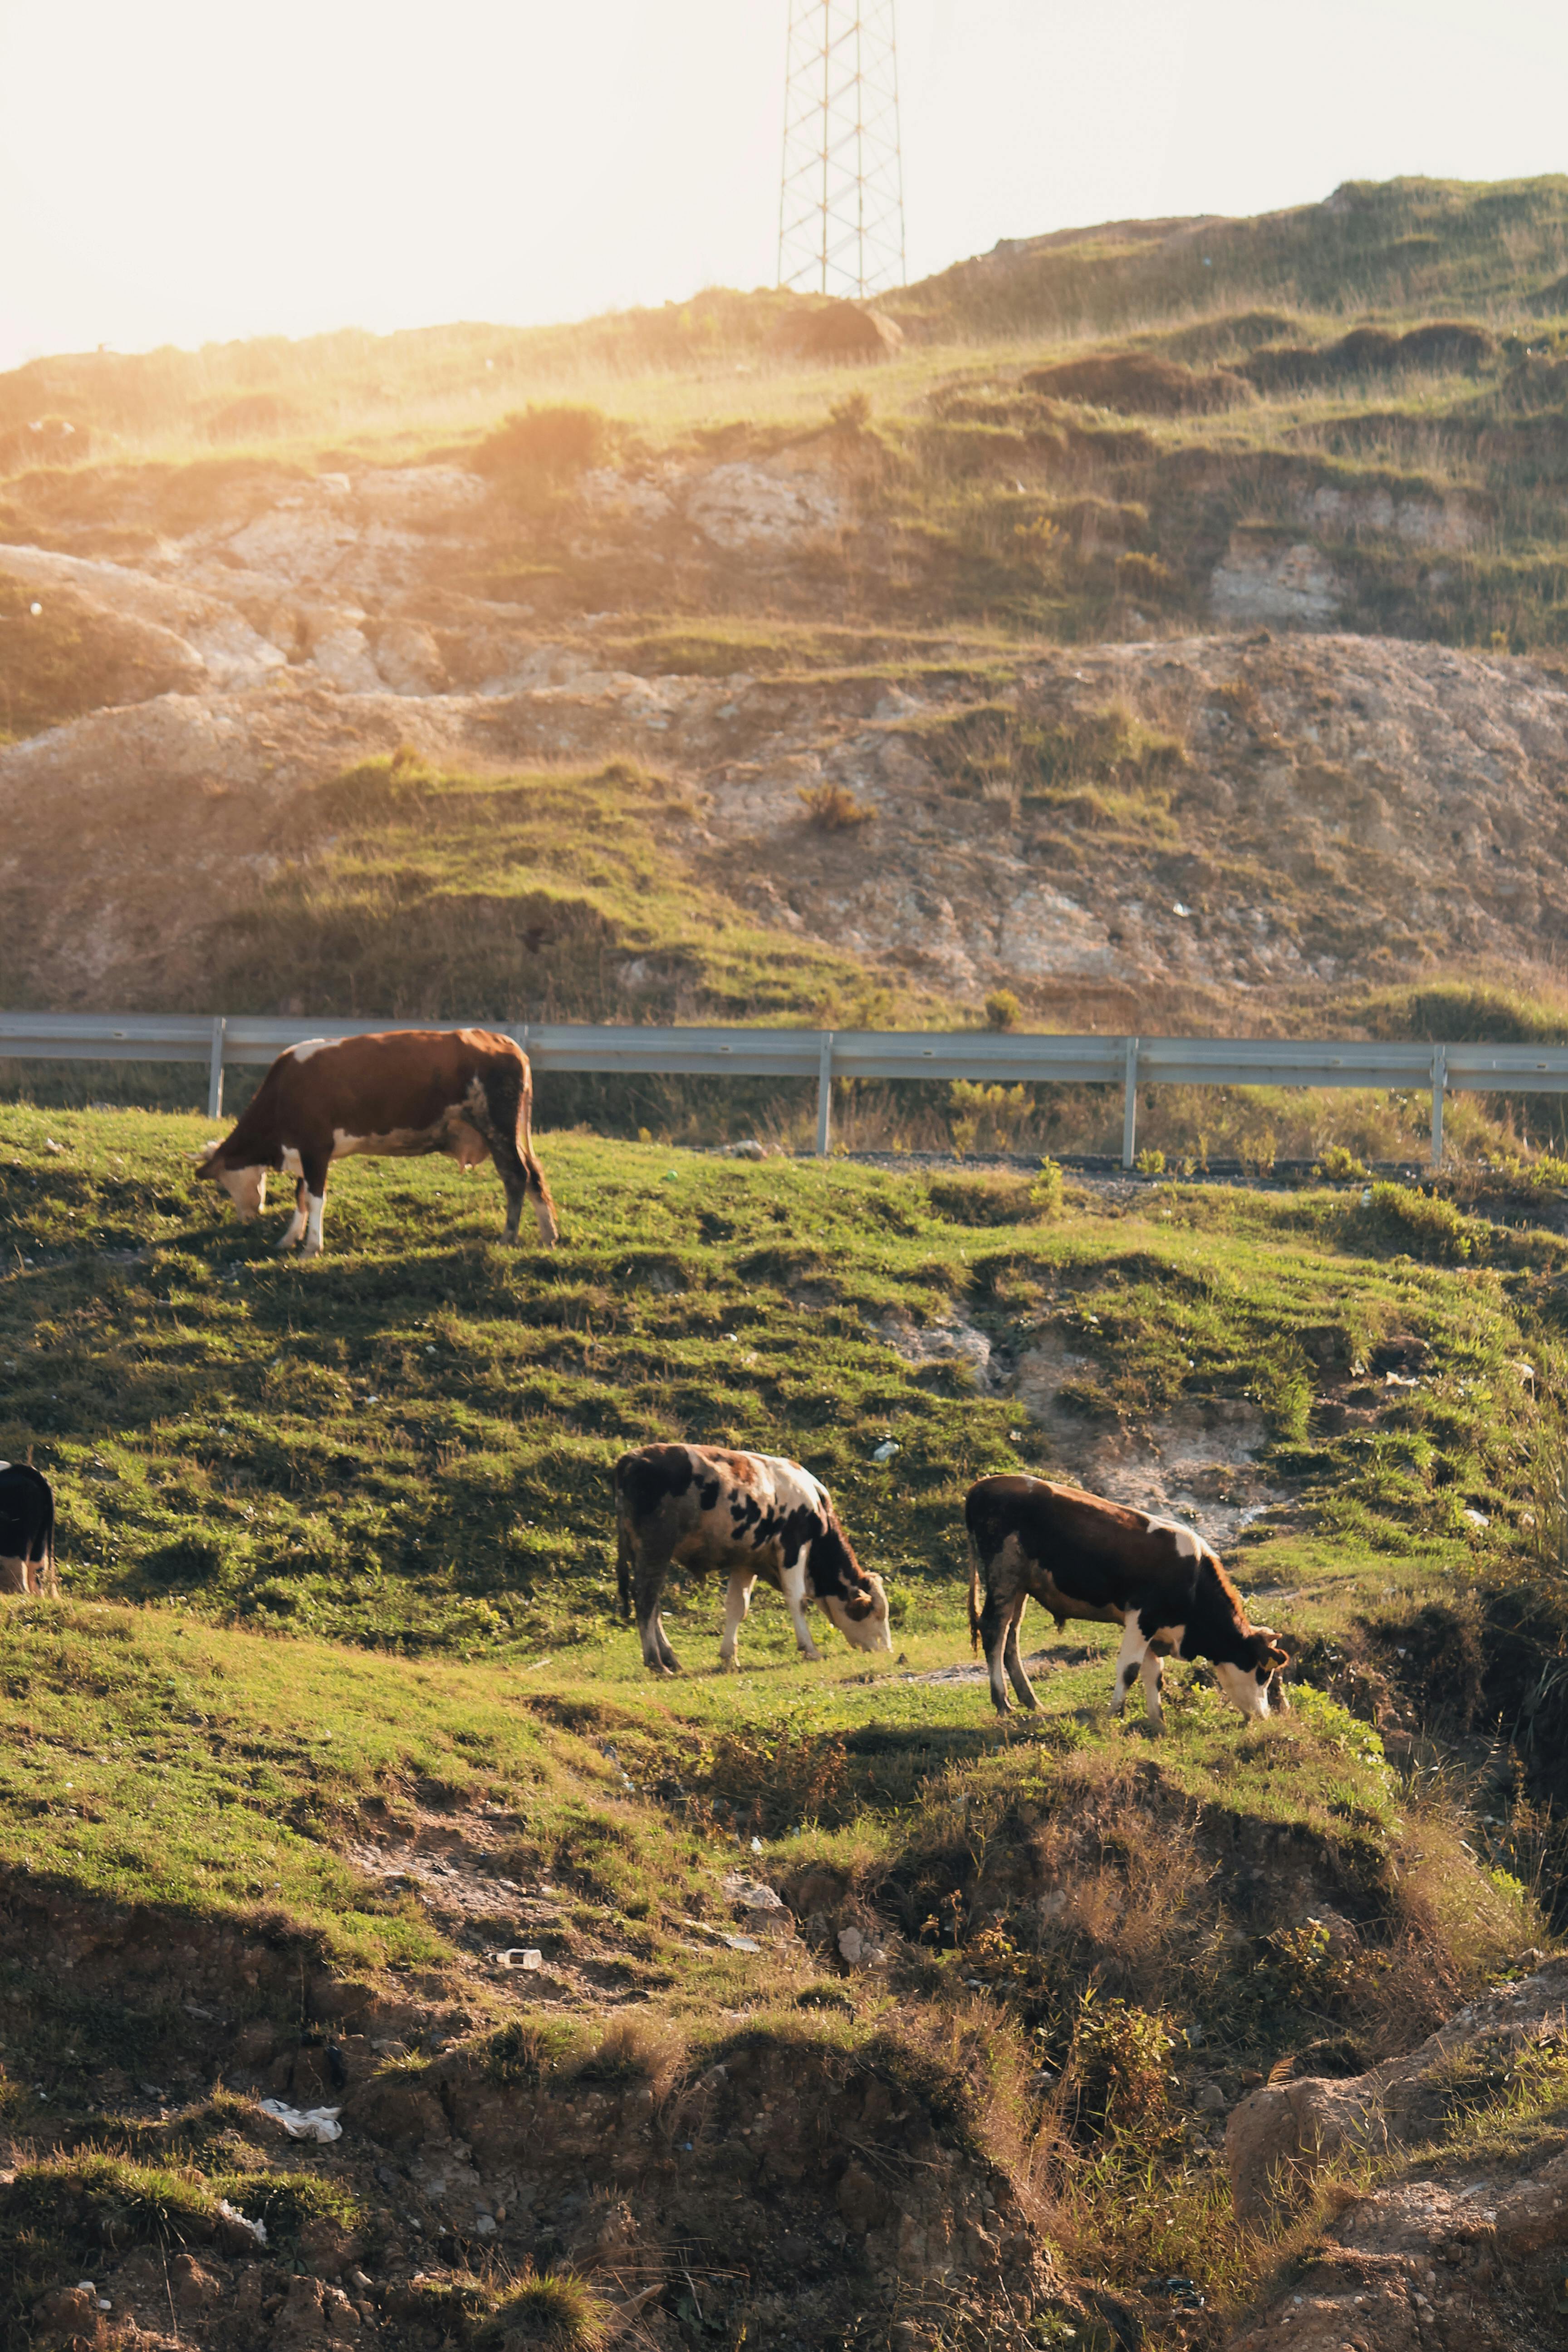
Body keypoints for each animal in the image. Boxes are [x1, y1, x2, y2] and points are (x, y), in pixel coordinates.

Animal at [192, 1027, 558, 1259]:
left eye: (225, 1183)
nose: (247, 1217)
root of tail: (506, 1043)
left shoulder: (316, 1149)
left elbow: (315, 1199)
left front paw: (312, 1247)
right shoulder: (305, 1151)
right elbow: (300, 1196)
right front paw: (288, 1238)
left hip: (498, 1129)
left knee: (516, 1177)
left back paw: (508, 1238)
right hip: (510, 1134)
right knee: (535, 1175)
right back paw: (548, 1234)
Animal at [615, 1443, 893, 1675]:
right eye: (876, 1612)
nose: (888, 1651)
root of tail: (632, 1458)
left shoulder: (746, 1561)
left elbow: (738, 1606)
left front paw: (730, 1657)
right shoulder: (793, 1545)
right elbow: (798, 1599)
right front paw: (810, 1649)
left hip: (646, 1553)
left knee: (653, 1604)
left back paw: (669, 1658)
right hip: (656, 1546)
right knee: (646, 1600)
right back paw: (656, 1662)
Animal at [965, 1475, 1289, 1728]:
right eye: (1264, 1674)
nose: (1263, 1716)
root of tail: (982, 1485)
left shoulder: (1154, 1628)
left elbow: (1154, 1674)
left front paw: (1158, 1722)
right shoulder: (1143, 1617)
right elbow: (1130, 1669)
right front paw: (1116, 1714)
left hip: (1019, 1585)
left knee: (1011, 1636)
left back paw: (1030, 1700)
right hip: (1004, 1574)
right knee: (993, 1630)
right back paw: (1003, 1702)